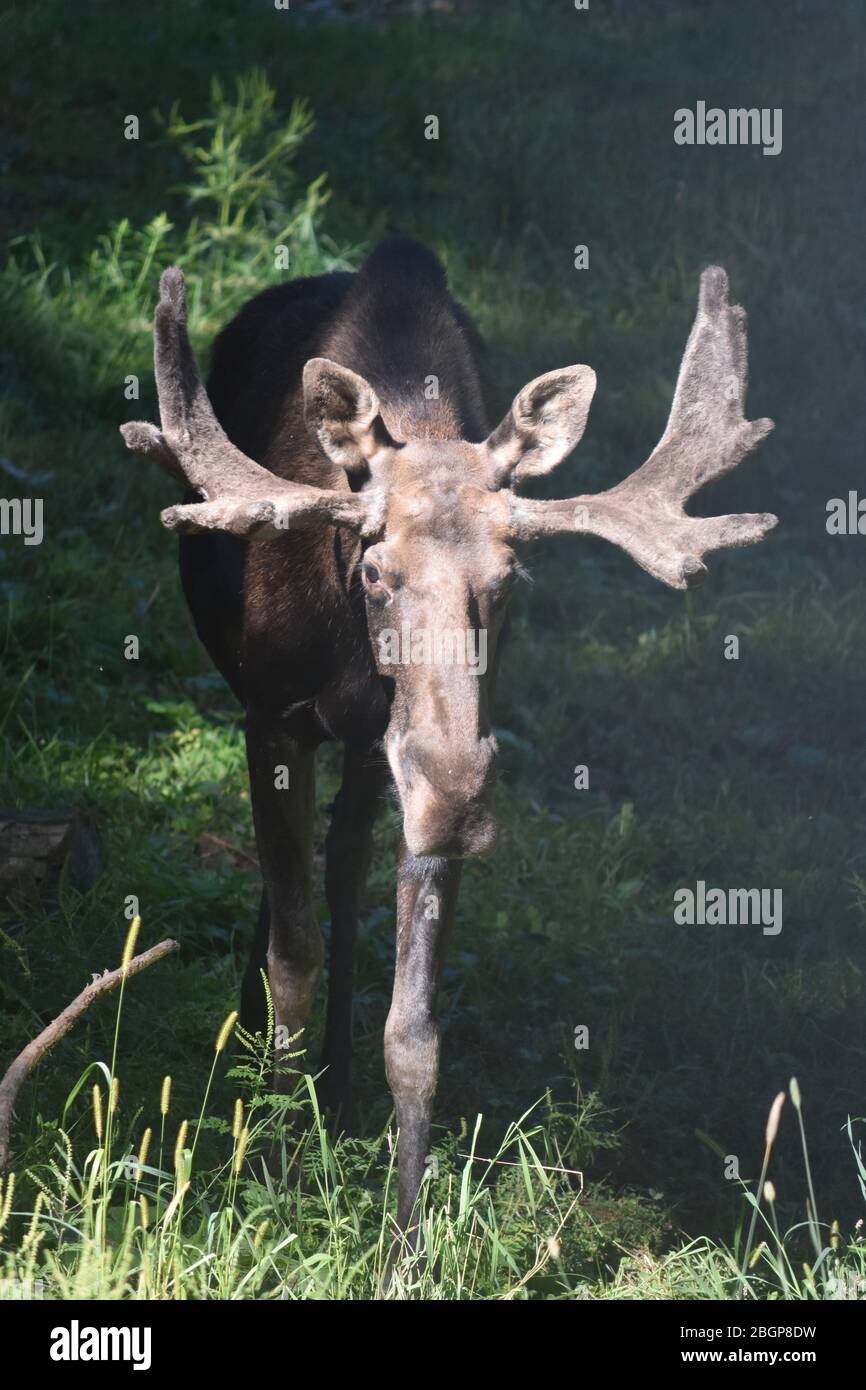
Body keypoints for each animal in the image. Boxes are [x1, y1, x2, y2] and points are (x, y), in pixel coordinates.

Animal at [121, 237, 776, 1246]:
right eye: (375, 567)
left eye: (510, 580)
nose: (459, 796)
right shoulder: (271, 717)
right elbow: (293, 957)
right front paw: (269, 1170)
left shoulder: (412, 760)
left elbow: (414, 1027)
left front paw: (404, 1244)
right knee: (297, 893)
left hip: (365, 757)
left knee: (345, 860)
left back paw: (333, 1087)